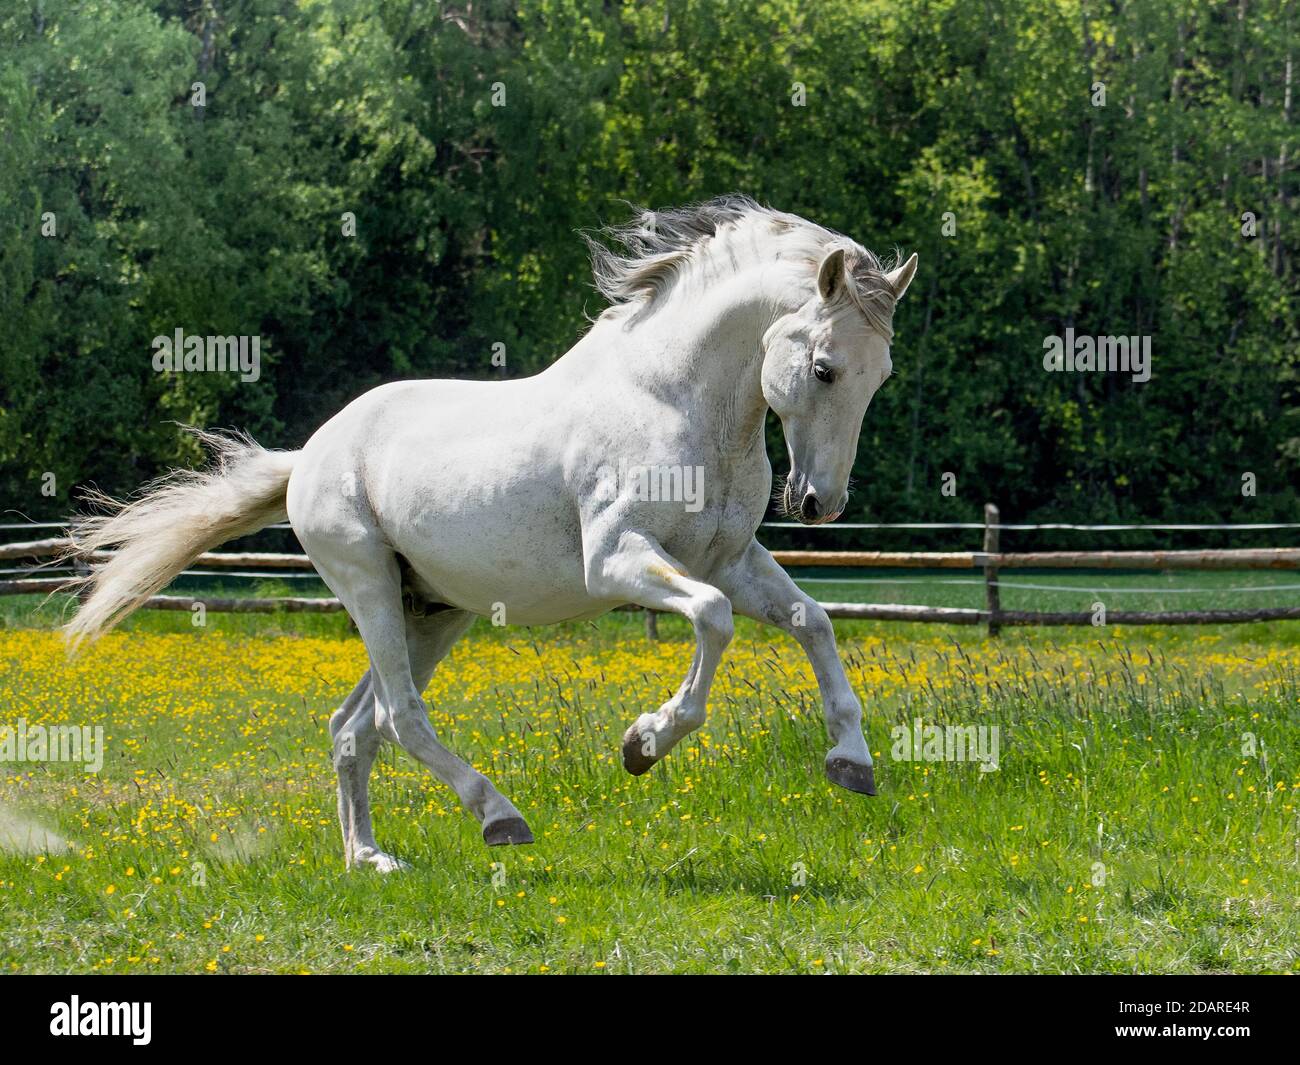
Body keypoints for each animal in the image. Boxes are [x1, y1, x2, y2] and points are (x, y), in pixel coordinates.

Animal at [66, 195, 918, 871]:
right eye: (824, 369)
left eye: (880, 376)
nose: (820, 502)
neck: (676, 401)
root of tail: (310, 451)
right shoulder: (621, 563)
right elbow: (711, 621)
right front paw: (642, 743)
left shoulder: (732, 560)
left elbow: (814, 621)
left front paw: (852, 763)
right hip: (370, 588)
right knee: (400, 717)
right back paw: (499, 815)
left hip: (434, 611)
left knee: (355, 727)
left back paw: (370, 858)